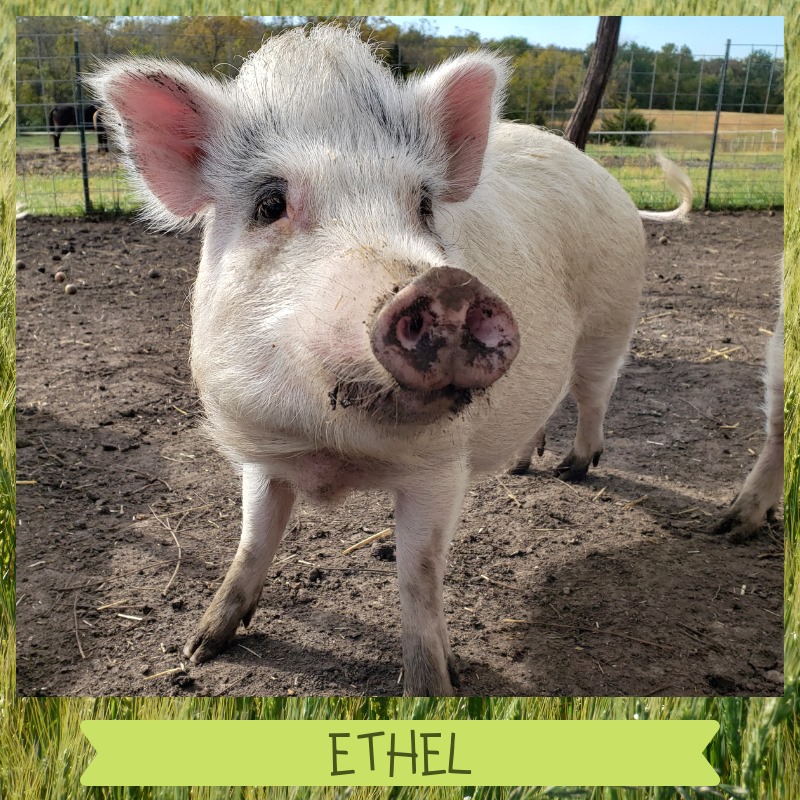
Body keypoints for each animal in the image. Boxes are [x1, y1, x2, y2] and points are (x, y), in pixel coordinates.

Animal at [90, 24, 692, 696]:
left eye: (425, 204)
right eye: (269, 203)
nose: (449, 286)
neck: (333, 449)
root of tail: (606, 178)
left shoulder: (441, 465)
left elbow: (418, 575)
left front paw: (432, 691)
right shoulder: (260, 448)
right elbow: (251, 541)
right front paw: (198, 650)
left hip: (612, 319)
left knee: (593, 393)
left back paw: (574, 469)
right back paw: (523, 466)